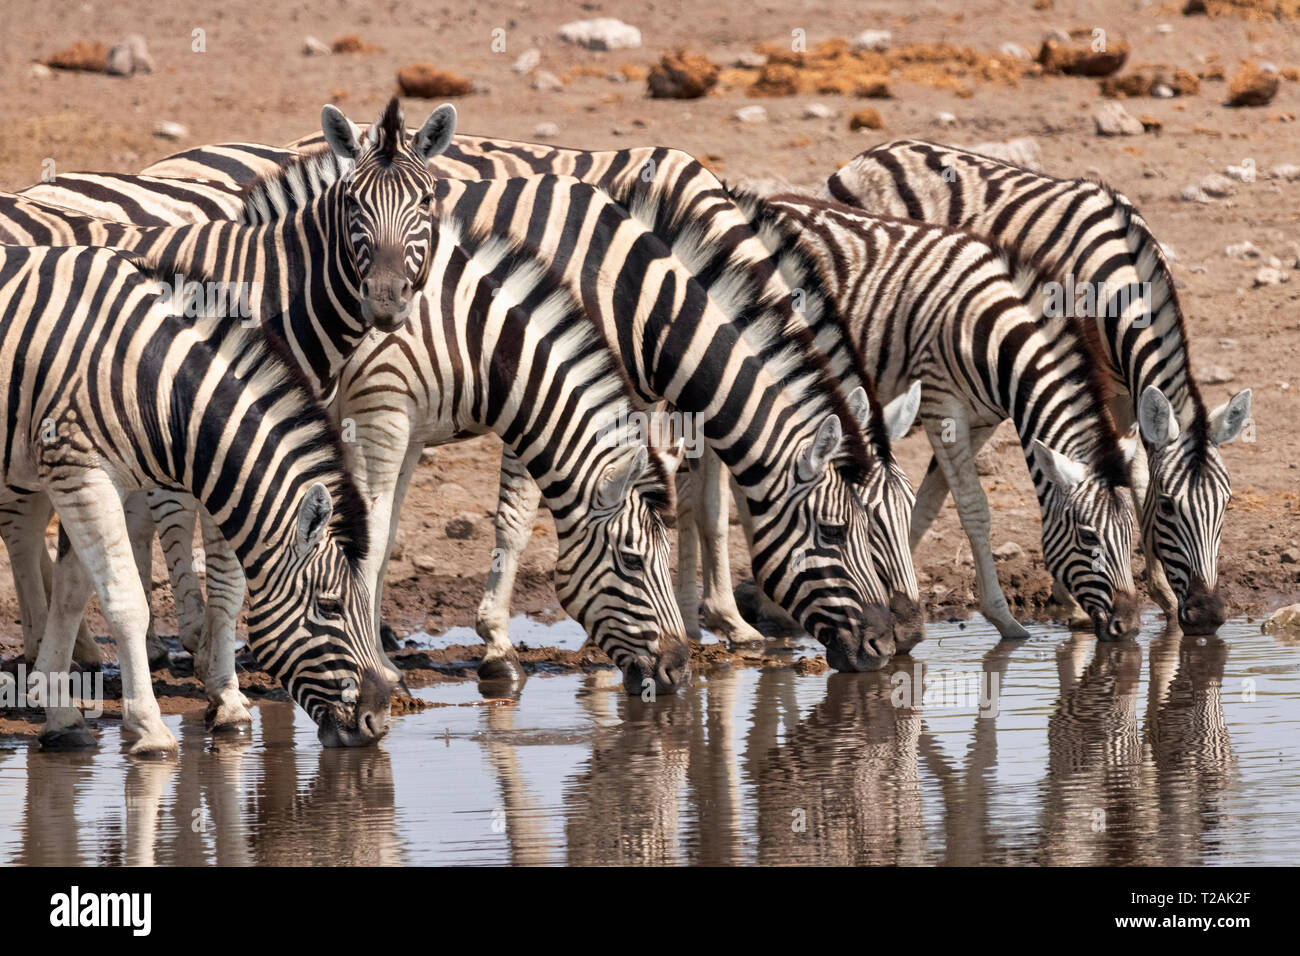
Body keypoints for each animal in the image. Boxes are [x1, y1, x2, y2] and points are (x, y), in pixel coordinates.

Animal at [0, 243, 392, 754]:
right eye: (330, 607)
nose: (377, 722)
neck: (148, 380)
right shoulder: (76, 470)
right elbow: (125, 600)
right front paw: (149, 727)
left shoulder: (96, 480)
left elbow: (71, 594)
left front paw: (61, 715)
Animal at [727, 189, 1142, 642]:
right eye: (1088, 537)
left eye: (1131, 533)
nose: (1129, 626)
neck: (997, 340)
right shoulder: (941, 404)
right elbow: (974, 509)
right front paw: (1004, 620)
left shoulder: (980, 420)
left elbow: (926, 503)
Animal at [825, 140, 1253, 634]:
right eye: (1169, 507)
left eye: (1226, 505)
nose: (1208, 616)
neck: (1117, 276)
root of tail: (875, 151)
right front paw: (1072, 602)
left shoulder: (1126, 394)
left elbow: (1132, 474)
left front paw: (1160, 593)